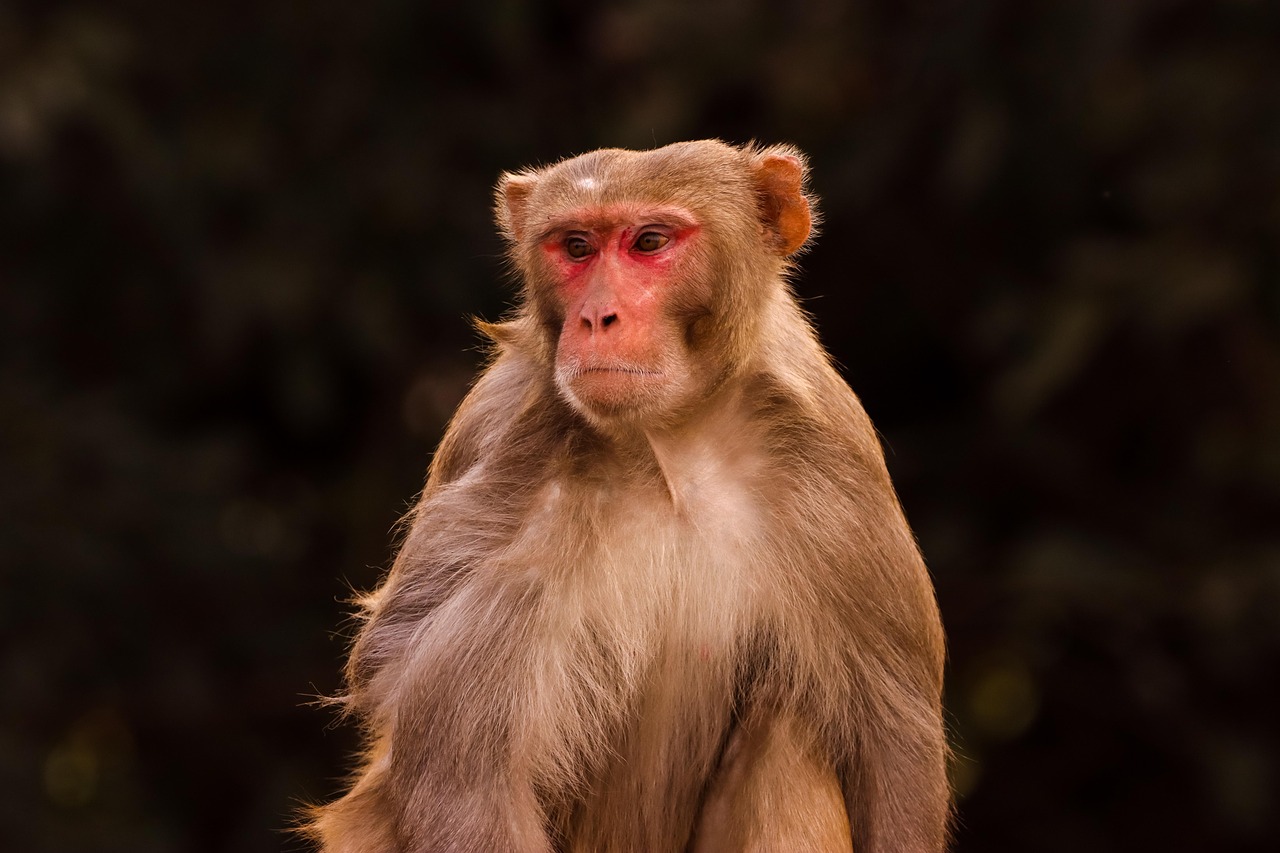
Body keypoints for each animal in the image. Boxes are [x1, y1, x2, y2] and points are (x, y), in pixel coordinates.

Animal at [308, 140, 950, 853]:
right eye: (576, 247)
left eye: (649, 242)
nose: (595, 317)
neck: (671, 449)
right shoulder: (513, 487)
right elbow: (462, 772)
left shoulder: (834, 475)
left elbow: (893, 748)